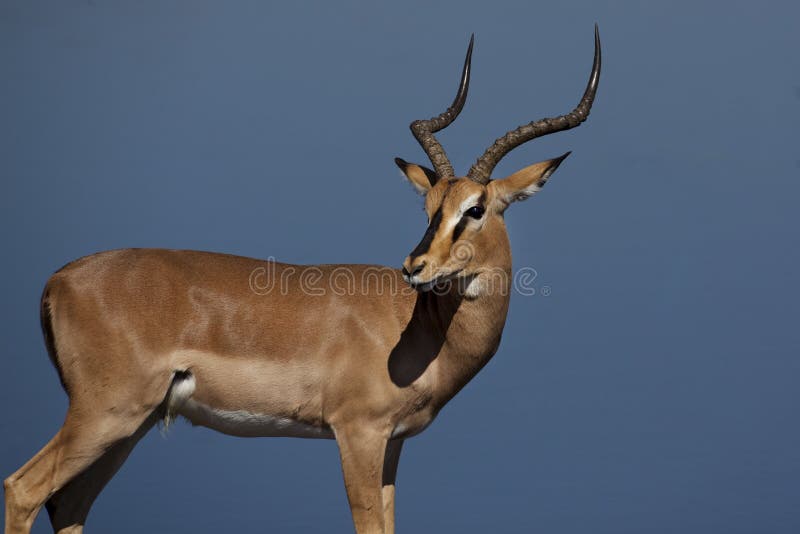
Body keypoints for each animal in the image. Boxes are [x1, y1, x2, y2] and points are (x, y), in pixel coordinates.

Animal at [4, 26, 601, 534]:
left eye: (474, 209)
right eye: (430, 205)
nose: (415, 266)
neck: (419, 329)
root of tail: (57, 280)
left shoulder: (393, 444)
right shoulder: (356, 433)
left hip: (135, 423)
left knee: (68, 504)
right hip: (106, 413)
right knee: (23, 489)